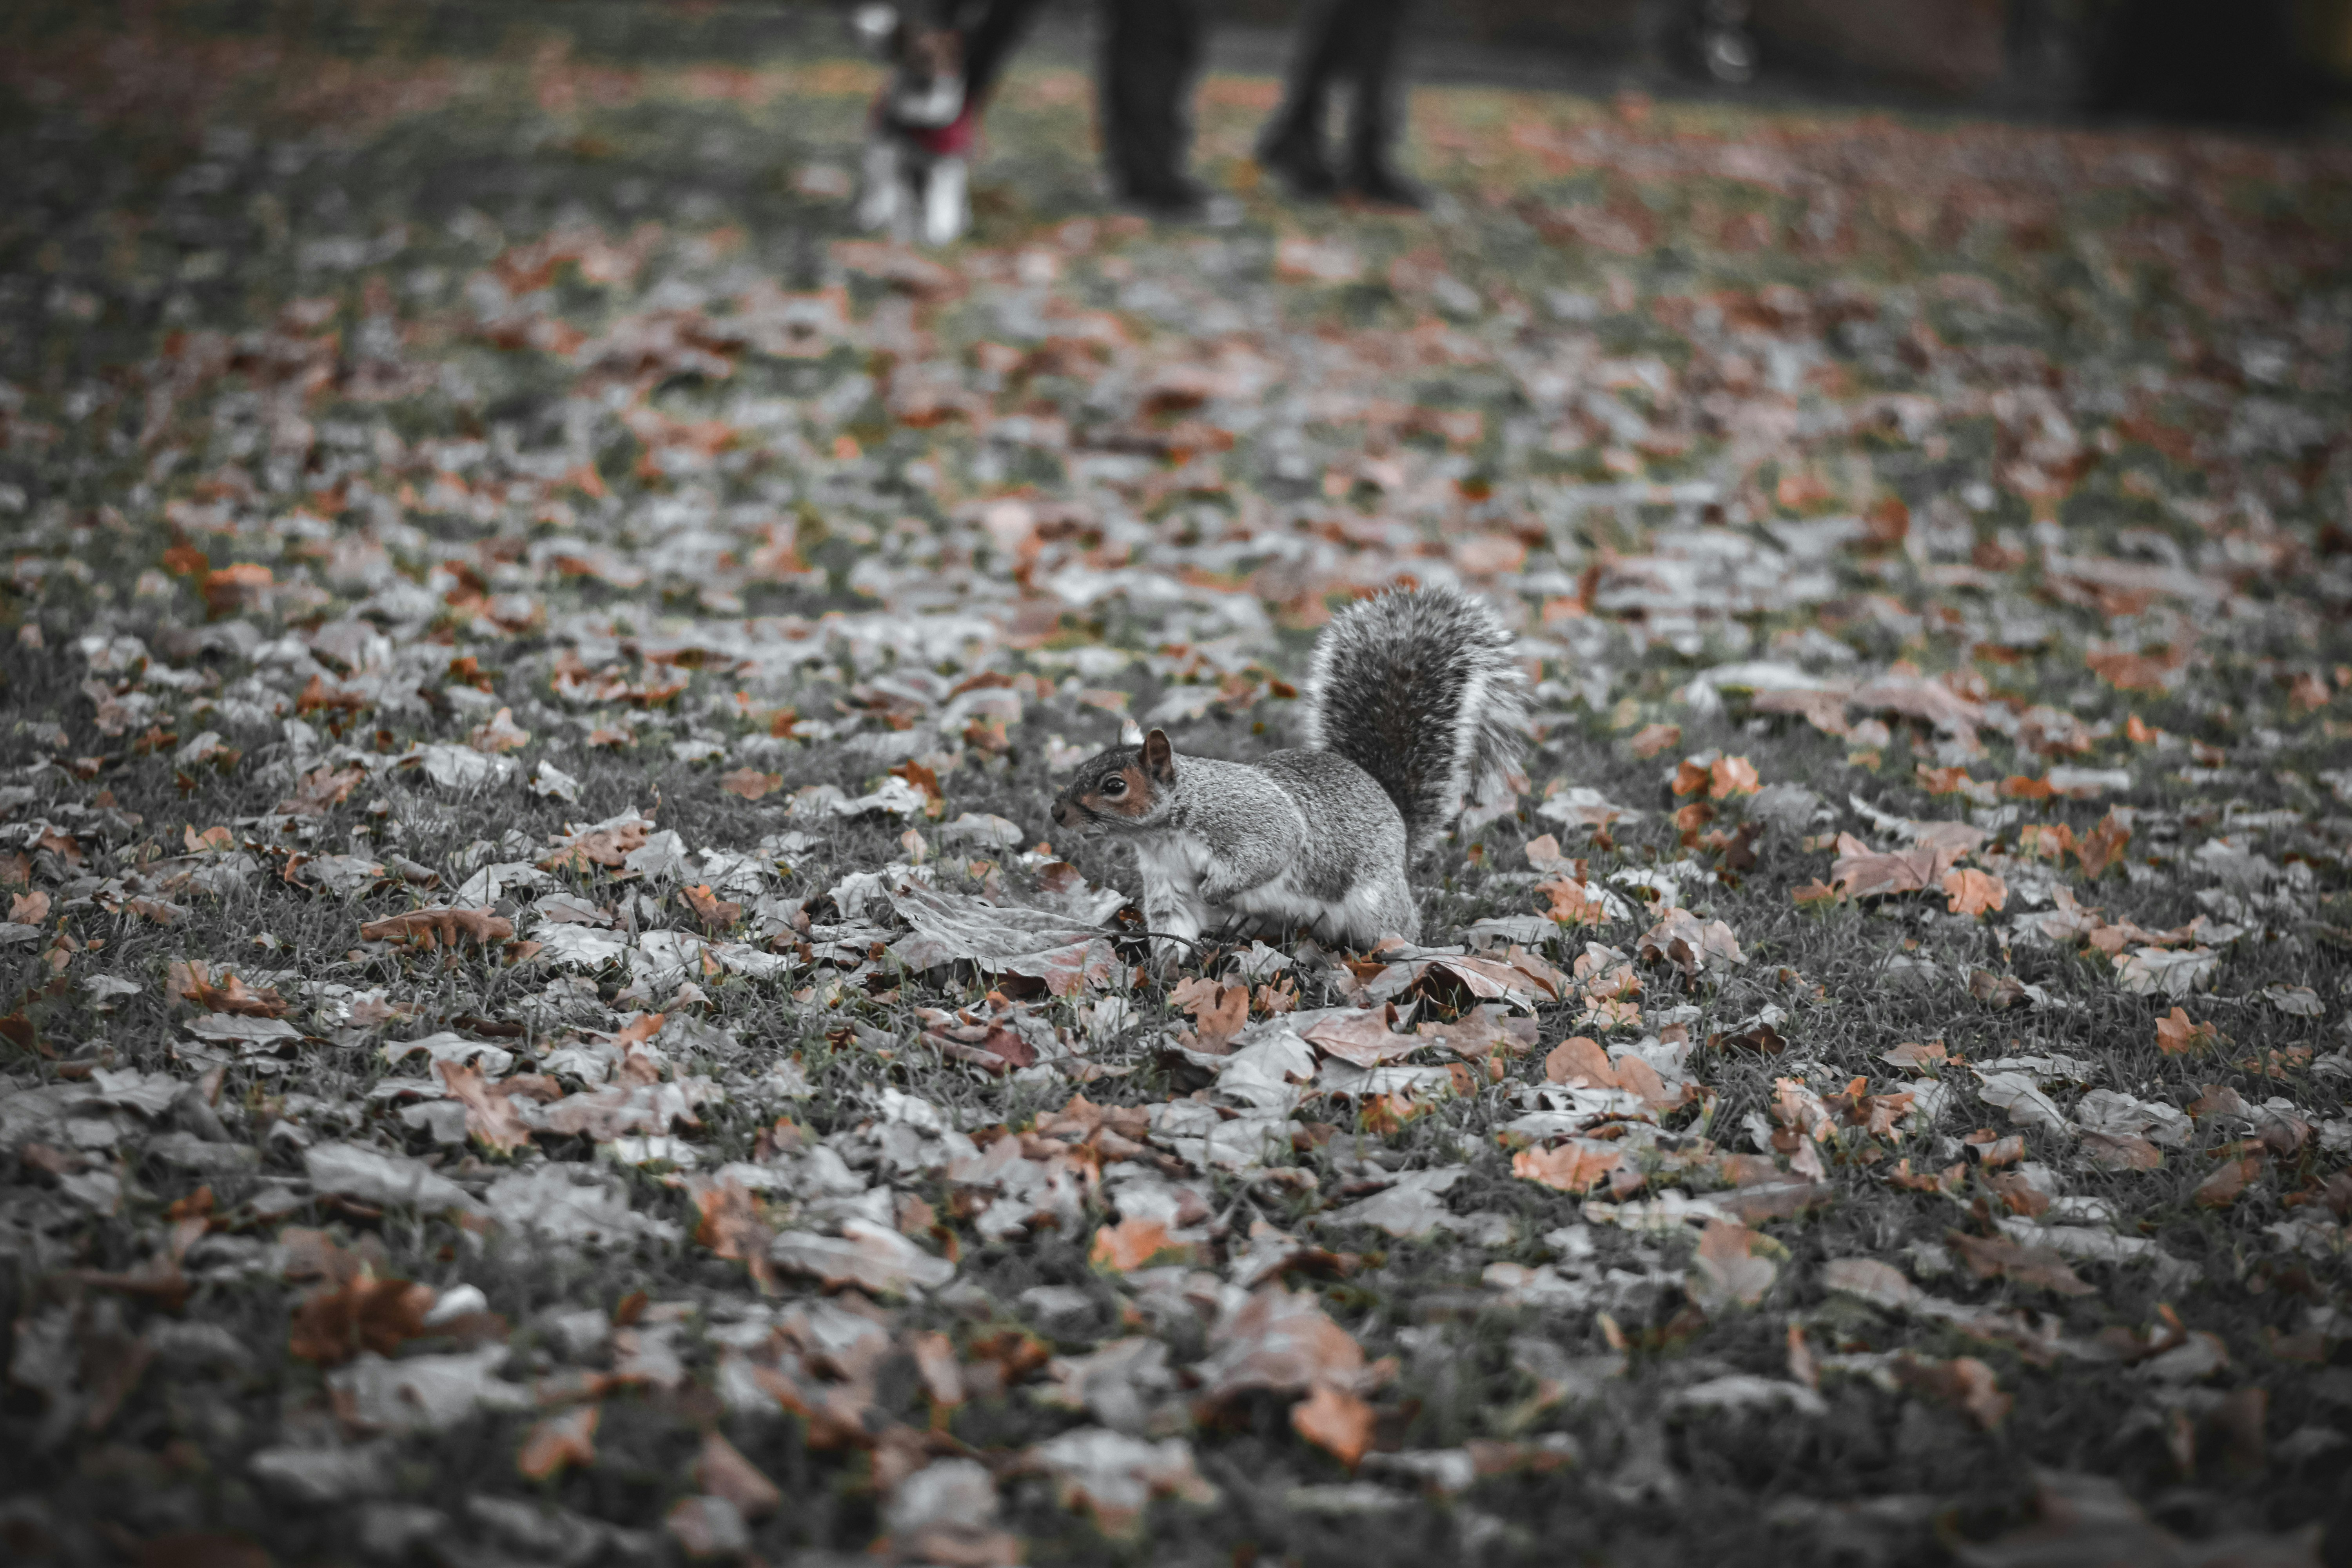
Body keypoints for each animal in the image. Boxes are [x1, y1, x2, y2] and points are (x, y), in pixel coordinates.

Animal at [1050, 585, 1528, 954]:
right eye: (1083, 766)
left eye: (1114, 785)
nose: (1057, 813)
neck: (1165, 831)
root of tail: (1398, 824)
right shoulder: (1168, 878)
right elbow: (1175, 921)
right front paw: (1167, 967)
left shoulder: (1253, 822)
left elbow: (1268, 853)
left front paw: (1215, 892)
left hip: (1376, 905)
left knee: (1399, 927)